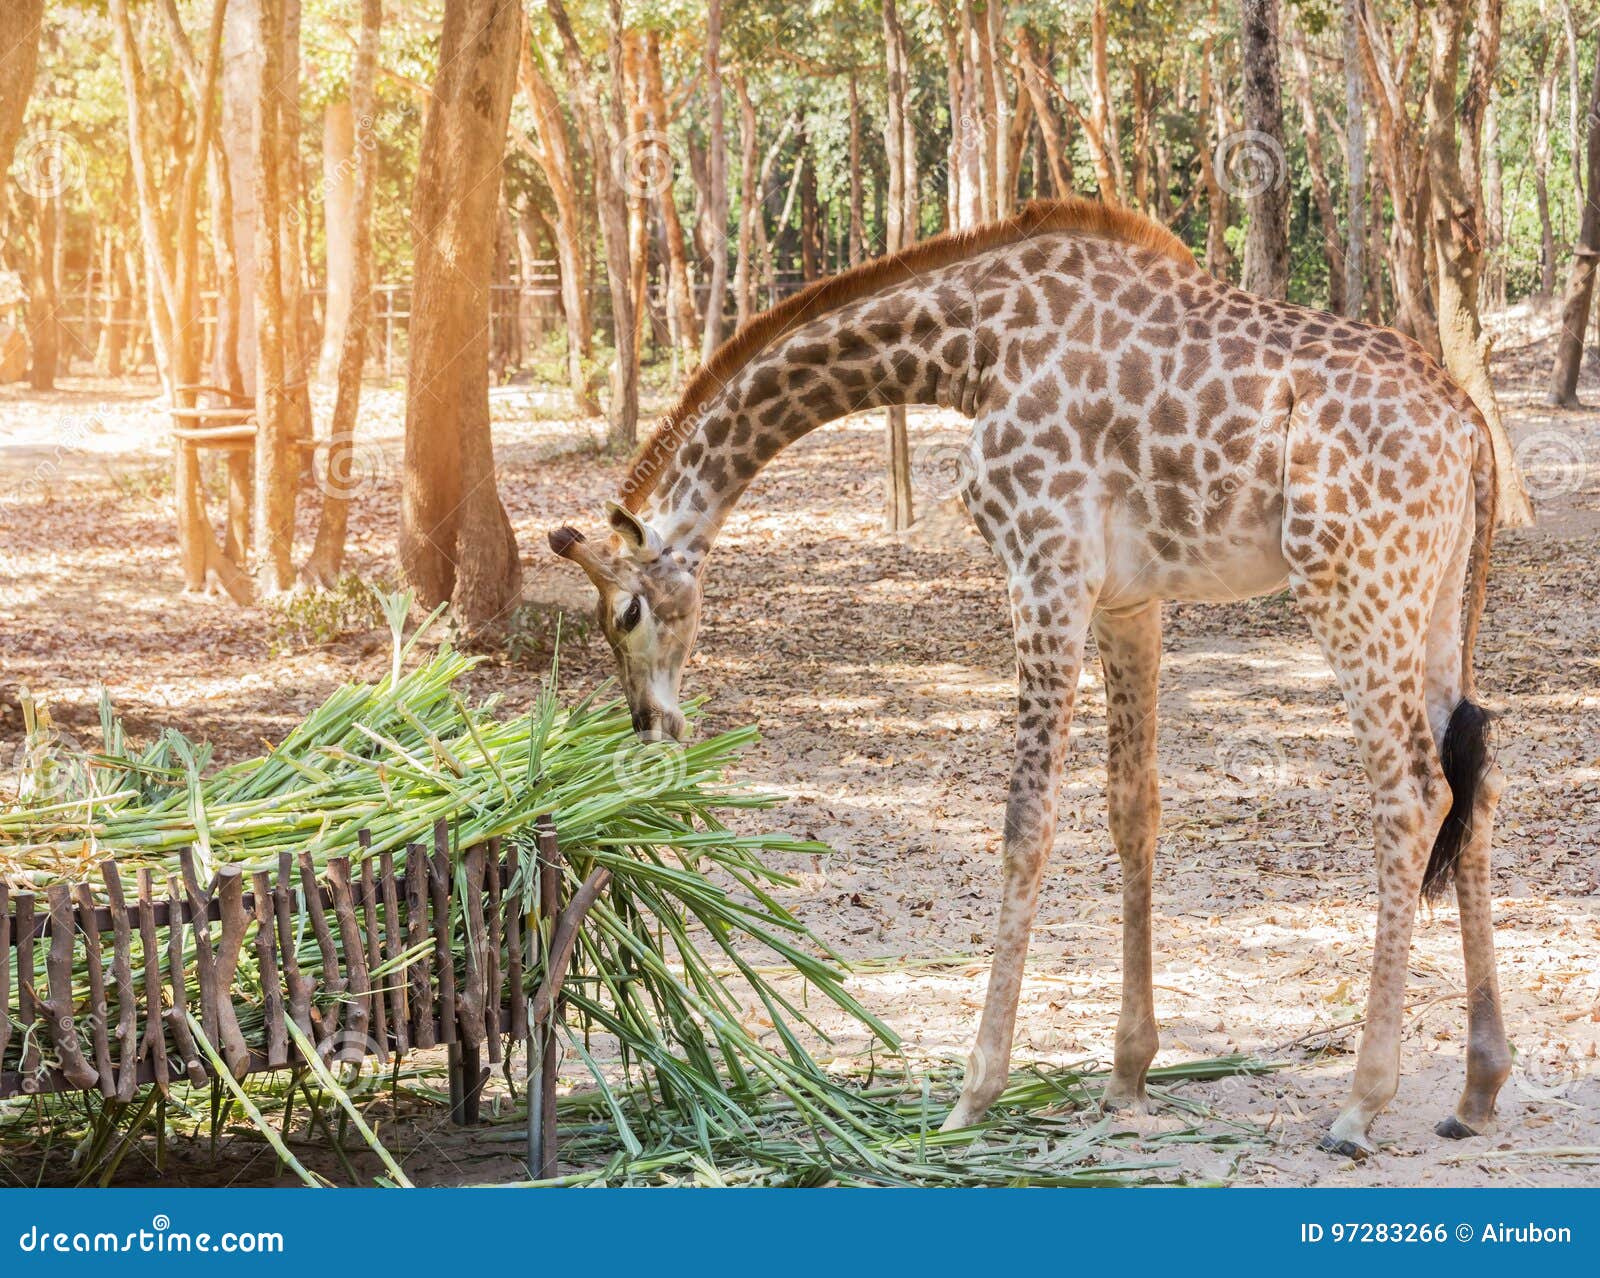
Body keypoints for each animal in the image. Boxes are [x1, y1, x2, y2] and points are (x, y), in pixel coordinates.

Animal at [547, 197, 1508, 1157]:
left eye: (625, 615)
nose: (649, 725)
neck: (973, 346)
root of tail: (1469, 427)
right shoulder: (1127, 598)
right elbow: (1132, 808)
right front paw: (1129, 1072)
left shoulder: (1045, 567)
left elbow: (1026, 820)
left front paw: (974, 1093)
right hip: (1432, 597)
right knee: (1475, 781)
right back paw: (1477, 1088)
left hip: (1349, 584)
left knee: (1414, 793)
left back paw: (1361, 1102)